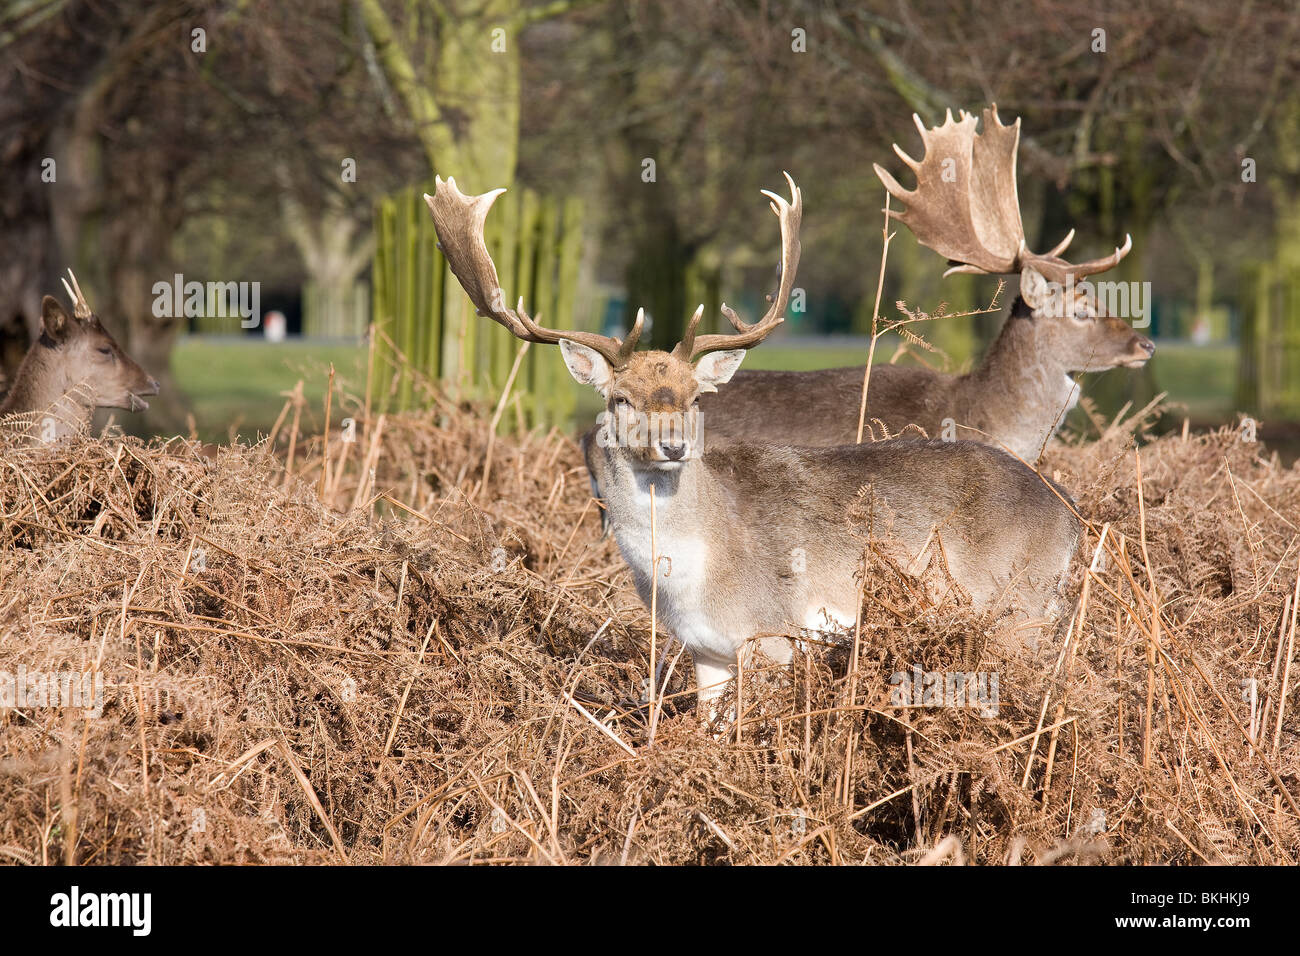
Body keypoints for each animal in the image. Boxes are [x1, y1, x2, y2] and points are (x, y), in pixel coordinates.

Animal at [426, 174, 1081, 710]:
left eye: (695, 398)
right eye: (621, 399)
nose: (673, 446)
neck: (692, 573)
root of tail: (1071, 517)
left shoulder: (773, 632)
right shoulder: (706, 649)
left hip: (1019, 607)